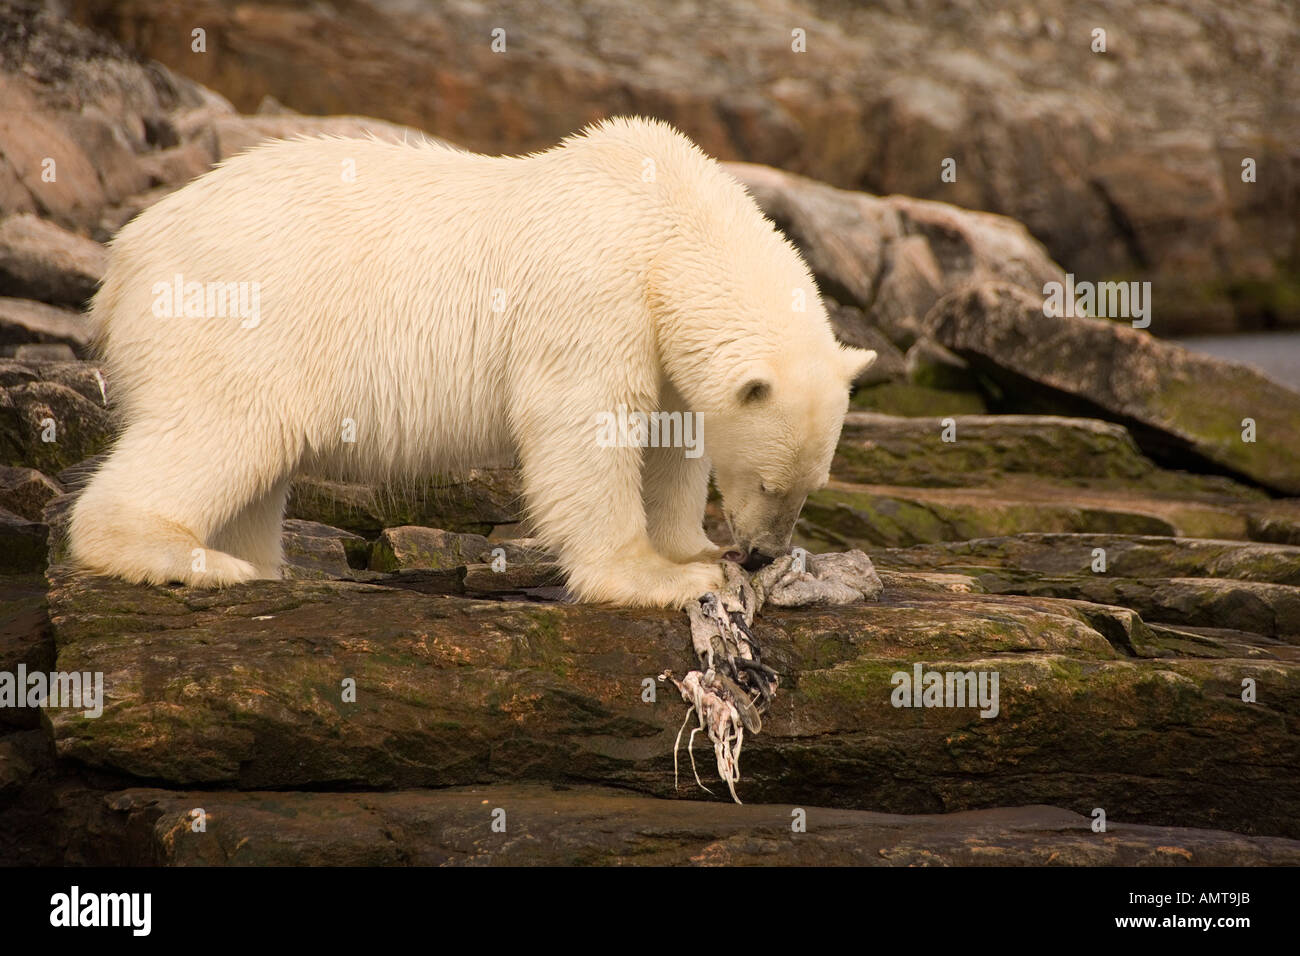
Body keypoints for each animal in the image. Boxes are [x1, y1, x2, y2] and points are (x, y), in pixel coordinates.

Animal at [68, 117, 876, 608]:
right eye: (770, 482)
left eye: (813, 486)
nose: (764, 553)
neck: (667, 224)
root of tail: (124, 259)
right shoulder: (594, 291)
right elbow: (581, 427)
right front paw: (652, 577)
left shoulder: (660, 336)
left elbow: (673, 439)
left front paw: (693, 551)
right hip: (238, 317)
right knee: (224, 429)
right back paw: (185, 558)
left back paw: (258, 562)